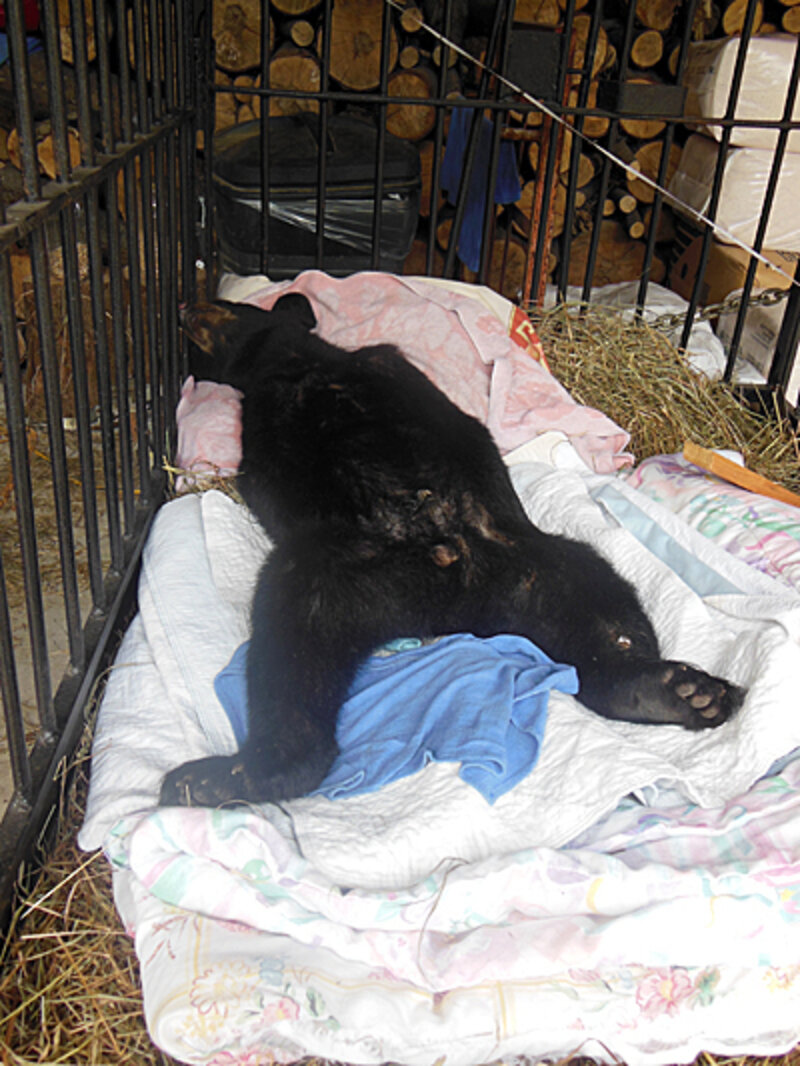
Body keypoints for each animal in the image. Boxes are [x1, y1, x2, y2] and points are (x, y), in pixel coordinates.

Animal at [159, 292, 744, 808]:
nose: (186, 306)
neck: (294, 363)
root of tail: (465, 606)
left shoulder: (368, 363)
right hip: (391, 578)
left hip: (553, 568)